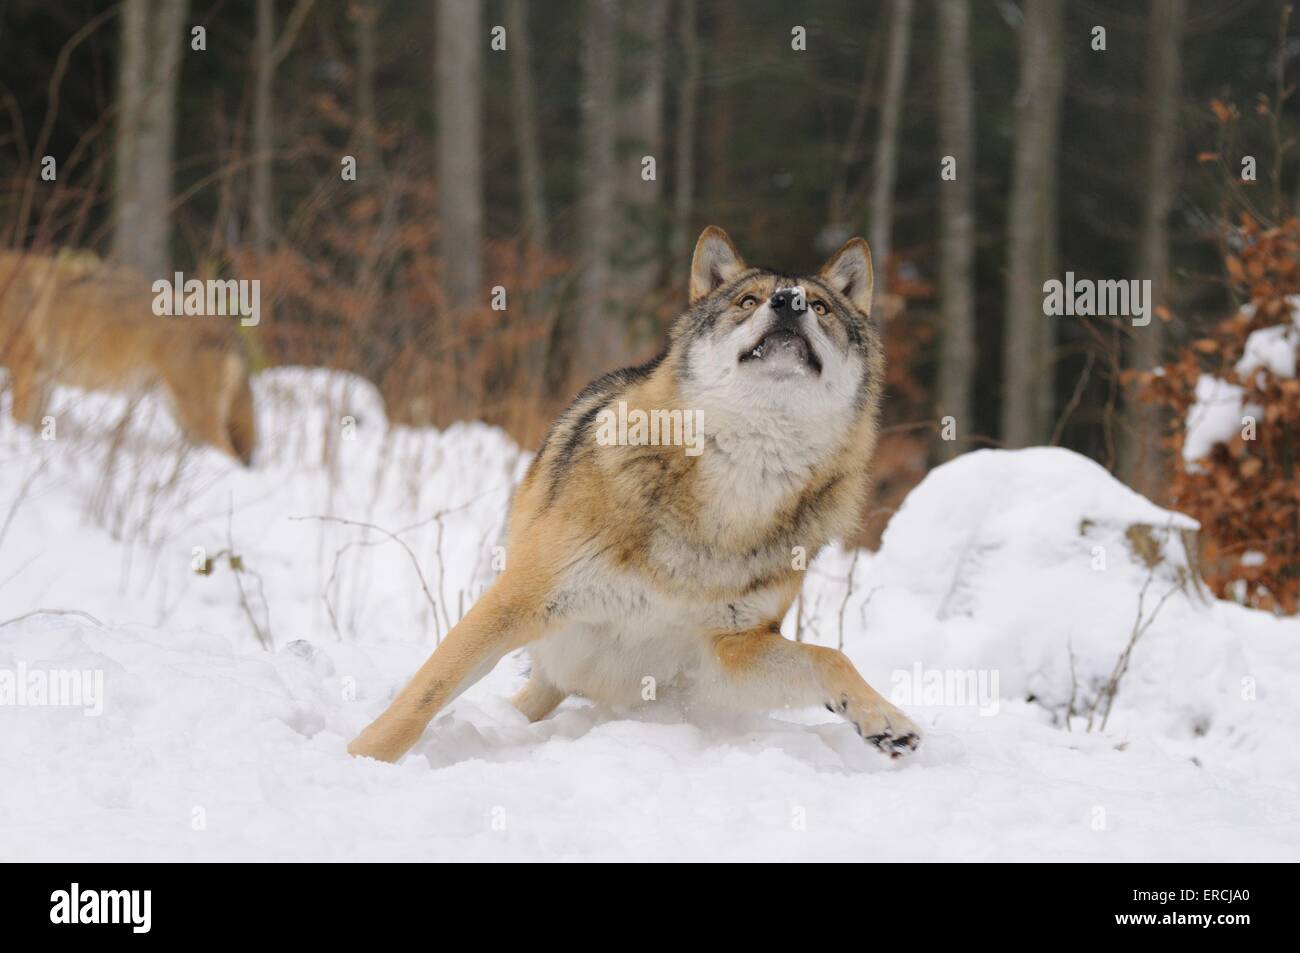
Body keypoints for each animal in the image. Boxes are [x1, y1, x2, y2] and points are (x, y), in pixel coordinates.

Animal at [0, 251, 255, 464]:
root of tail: (226, 327)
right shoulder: (42, 382)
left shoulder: (24, 373)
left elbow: (18, 420)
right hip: (183, 418)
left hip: (195, 418)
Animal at [349, 226, 920, 763]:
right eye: (748, 301)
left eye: (820, 307)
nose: (789, 302)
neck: (744, 476)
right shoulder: (520, 600)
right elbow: (423, 695)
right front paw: (361, 761)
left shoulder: (724, 652)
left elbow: (830, 656)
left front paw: (883, 717)